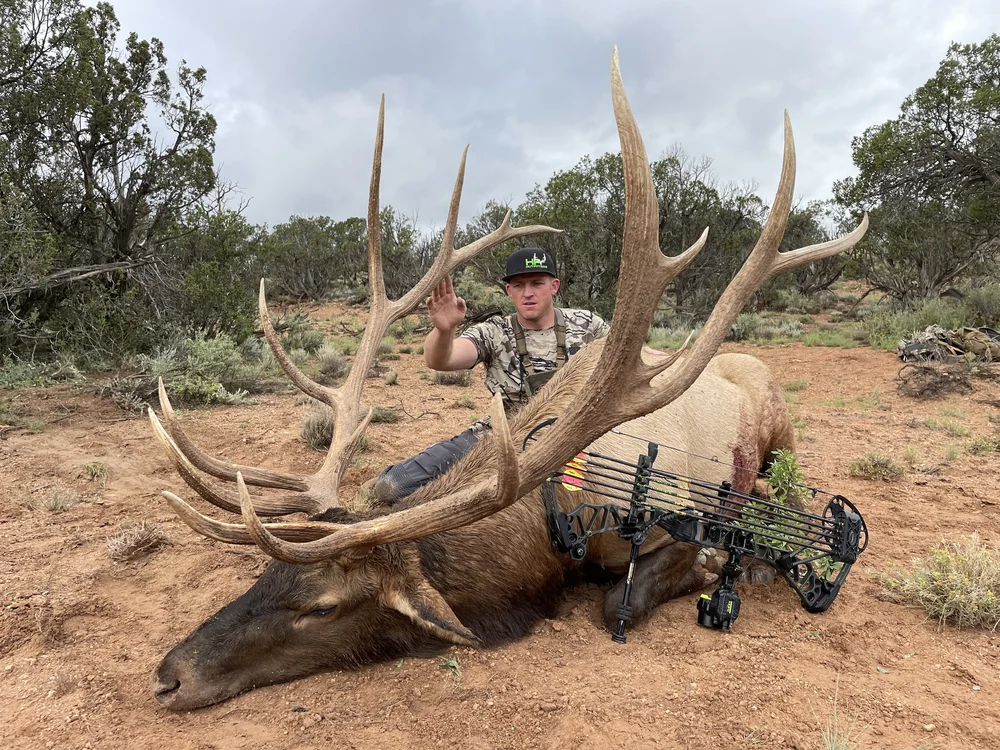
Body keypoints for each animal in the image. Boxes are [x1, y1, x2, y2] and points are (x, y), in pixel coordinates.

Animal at [145, 48, 868, 711]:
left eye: (321, 606)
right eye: (266, 572)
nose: (170, 674)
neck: (561, 517)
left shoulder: (672, 530)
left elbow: (626, 597)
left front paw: (730, 566)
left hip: (782, 433)